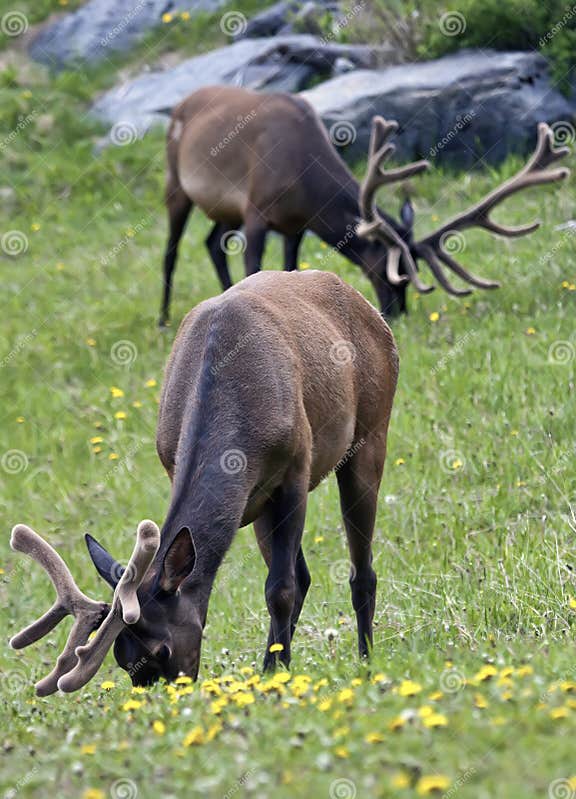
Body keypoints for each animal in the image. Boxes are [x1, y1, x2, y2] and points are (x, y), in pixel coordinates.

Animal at [11, 268, 400, 693]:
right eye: (122, 660)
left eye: (161, 650)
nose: (166, 697)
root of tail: (367, 306)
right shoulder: (190, 468)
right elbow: (285, 583)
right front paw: (274, 669)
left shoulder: (296, 470)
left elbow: (281, 589)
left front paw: (277, 673)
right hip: (262, 504)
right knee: (306, 575)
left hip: (372, 432)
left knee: (360, 571)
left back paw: (366, 662)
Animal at [159, 85, 569, 326]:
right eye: (391, 273)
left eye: (412, 273)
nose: (397, 313)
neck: (302, 178)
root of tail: (181, 102)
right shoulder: (256, 210)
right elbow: (253, 267)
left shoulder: (295, 226)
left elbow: (288, 269)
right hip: (177, 182)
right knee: (172, 251)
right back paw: (163, 319)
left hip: (223, 210)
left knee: (211, 243)